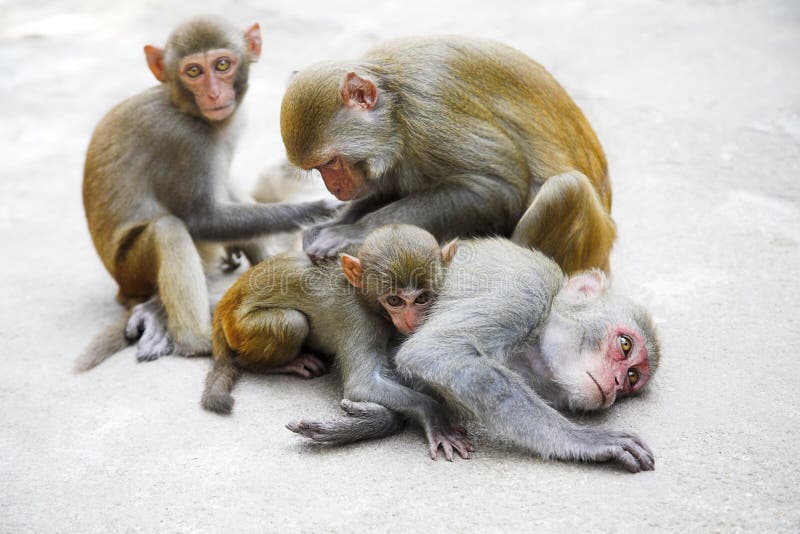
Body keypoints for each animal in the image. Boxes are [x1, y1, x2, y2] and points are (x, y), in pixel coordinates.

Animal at [80, 17, 337, 365]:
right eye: (193, 71)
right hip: (133, 270)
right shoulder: (186, 141)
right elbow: (203, 218)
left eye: (222, 64)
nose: (214, 94)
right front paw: (317, 210)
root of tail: (123, 288)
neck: (183, 107)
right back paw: (199, 339)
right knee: (168, 228)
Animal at [201, 224, 470, 460]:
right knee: (292, 322)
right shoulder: (357, 316)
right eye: (394, 300)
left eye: (422, 298)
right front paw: (435, 415)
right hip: (241, 328)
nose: (411, 320)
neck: (363, 294)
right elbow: (362, 385)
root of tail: (227, 300)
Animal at [279, 36, 616, 273]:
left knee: (564, 190)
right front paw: (331, 225)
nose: (334, 187)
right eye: (319, 168)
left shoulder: (431, 111)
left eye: (331, 162)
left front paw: (352, 232)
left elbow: (494, 188)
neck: (396, 106)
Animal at [289, 238, 660, 472]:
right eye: (625, 345)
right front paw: (584, 440)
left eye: (632, 378)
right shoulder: (523, 295)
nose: (615, 384)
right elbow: (433, 352)